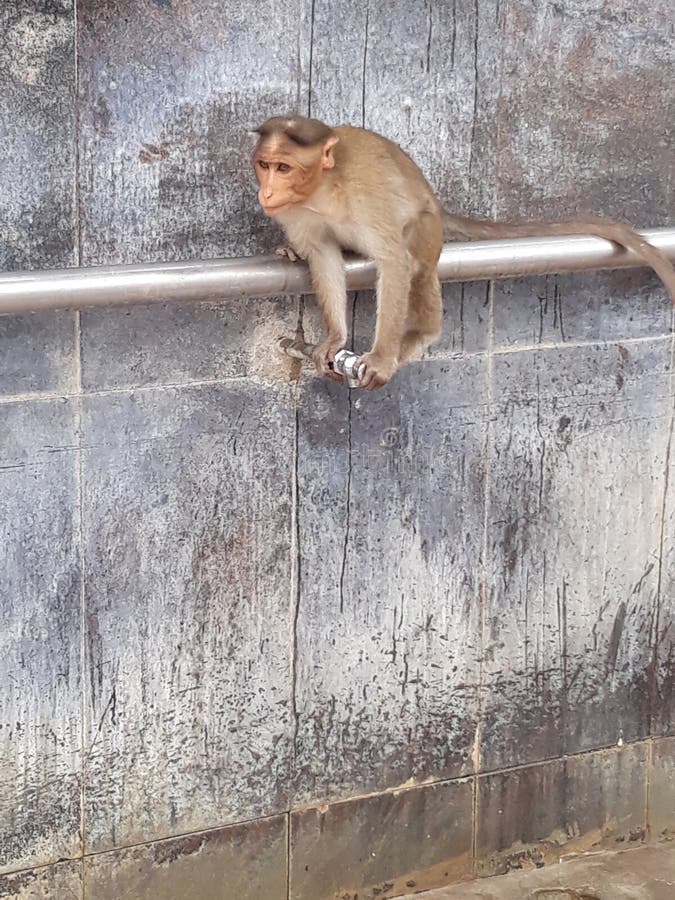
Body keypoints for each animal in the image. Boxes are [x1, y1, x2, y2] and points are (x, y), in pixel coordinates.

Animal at [253, 115, 675, 390]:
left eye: (283, 167)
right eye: (264, 165)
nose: (267, 192)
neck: (322, 188)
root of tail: (439, 207)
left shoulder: (365, 194)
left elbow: (394, 261)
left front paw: (381, 359)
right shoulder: (297, 213)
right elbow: (322, 254)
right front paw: (335, 338)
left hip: (429, 227)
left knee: (418, 265)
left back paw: (419, 335)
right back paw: (291, 252)